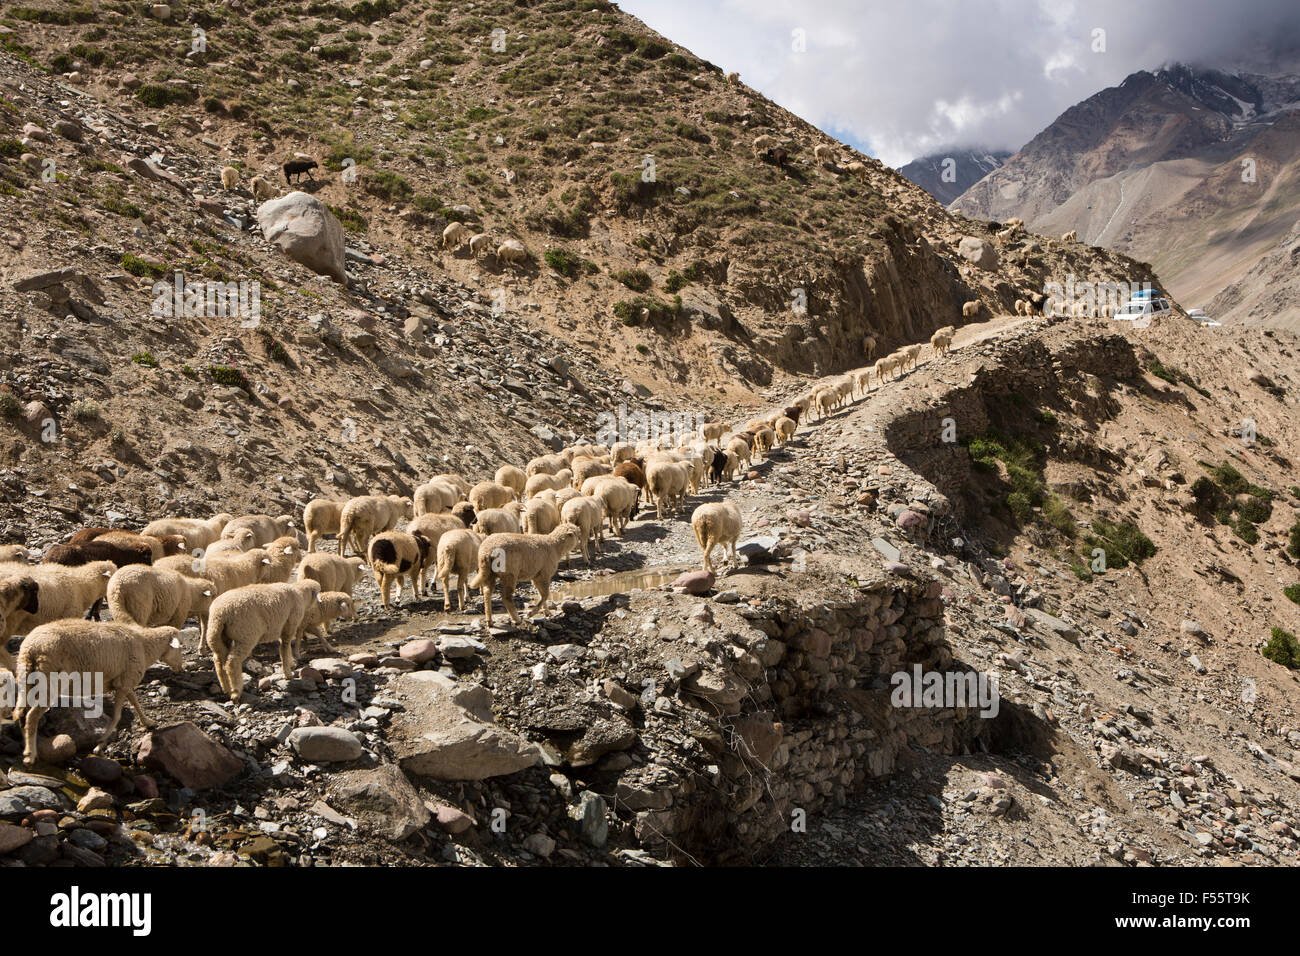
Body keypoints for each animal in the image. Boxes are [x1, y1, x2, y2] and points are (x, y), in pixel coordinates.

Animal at [12, 620, 184, 766]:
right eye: (179, 648)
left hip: (26, 680)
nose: (180, 668)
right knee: (31, 716)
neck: (145, 646)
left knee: (21, 714)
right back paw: (30, 755)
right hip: (50, 682)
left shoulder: (124, 682)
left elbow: (135, 701)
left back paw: (26, 747)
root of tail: (31, 648)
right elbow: (117, 716)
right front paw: (100, 744)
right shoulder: (125, 682)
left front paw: (147, 722)